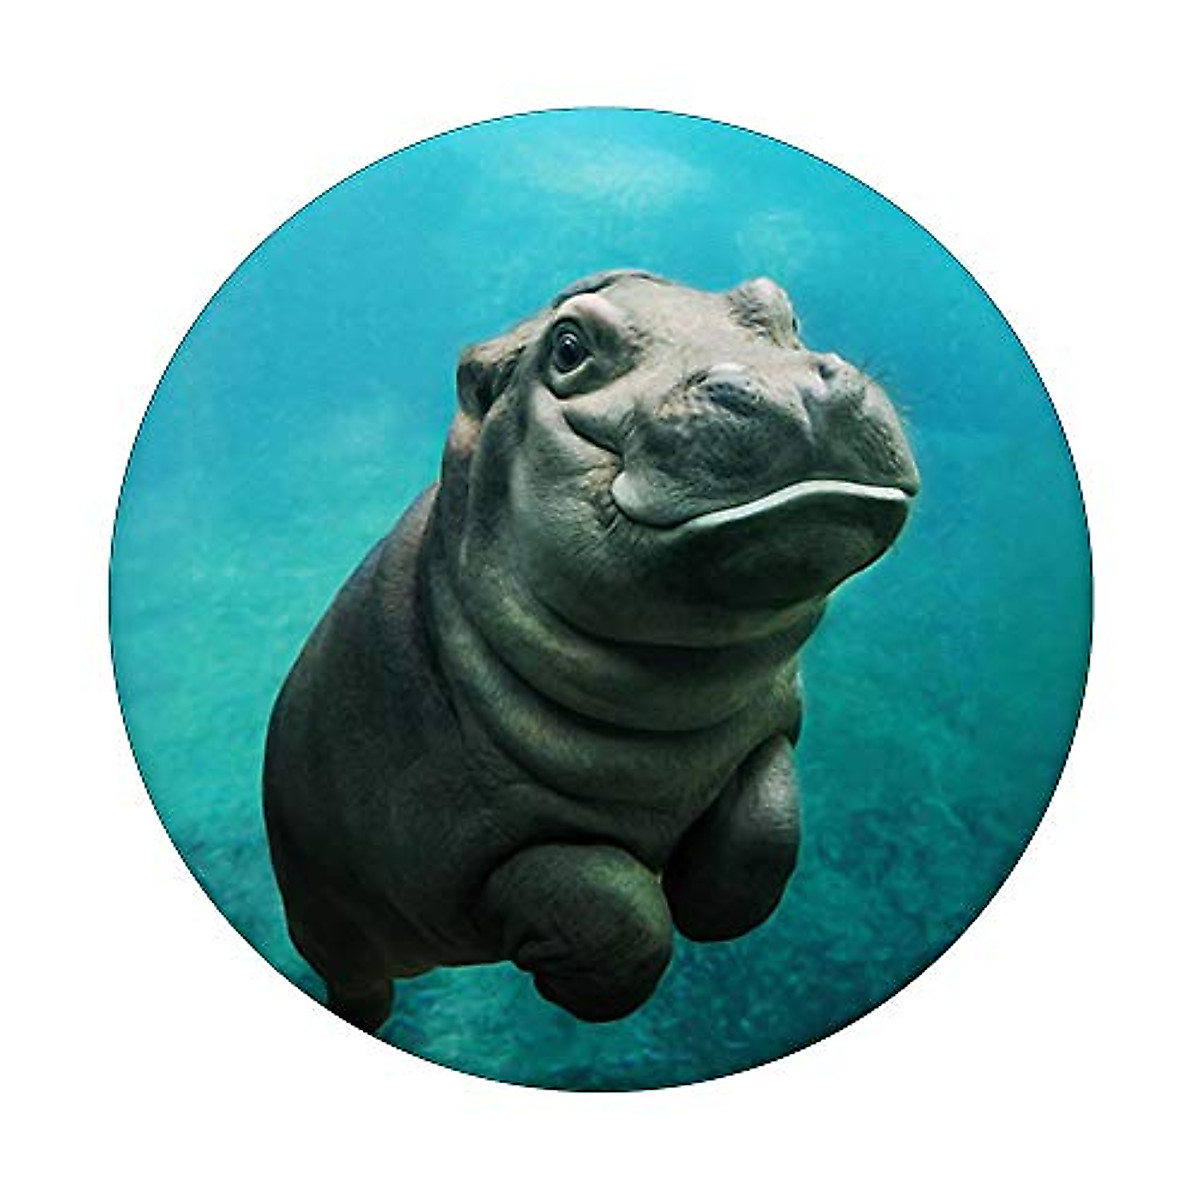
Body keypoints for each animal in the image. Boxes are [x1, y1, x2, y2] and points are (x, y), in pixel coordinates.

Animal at [262, 270, 919, 1032]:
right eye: (569, 347)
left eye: (781, 309)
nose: (791, 386)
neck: (670, 704)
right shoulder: (460, 848)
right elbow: (614, 911)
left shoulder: (767, 728)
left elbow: (768, 823)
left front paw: (708, 906)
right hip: (328, 923)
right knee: (360, 984)